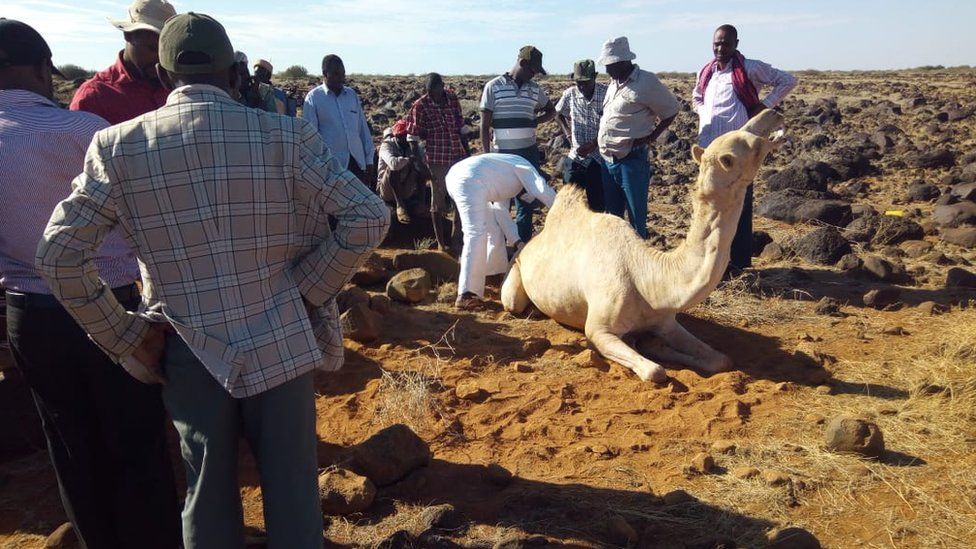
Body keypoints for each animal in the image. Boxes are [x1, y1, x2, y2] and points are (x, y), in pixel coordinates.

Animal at [501, 109, 786, 383]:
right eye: (751, 144)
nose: (773, 112)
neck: (646, 279)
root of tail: (532, 242)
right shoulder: (599, 330)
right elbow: (654, 371)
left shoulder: (666, 322)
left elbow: (721, 360)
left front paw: (653, 345)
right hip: (515, 281)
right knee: (512, 301)